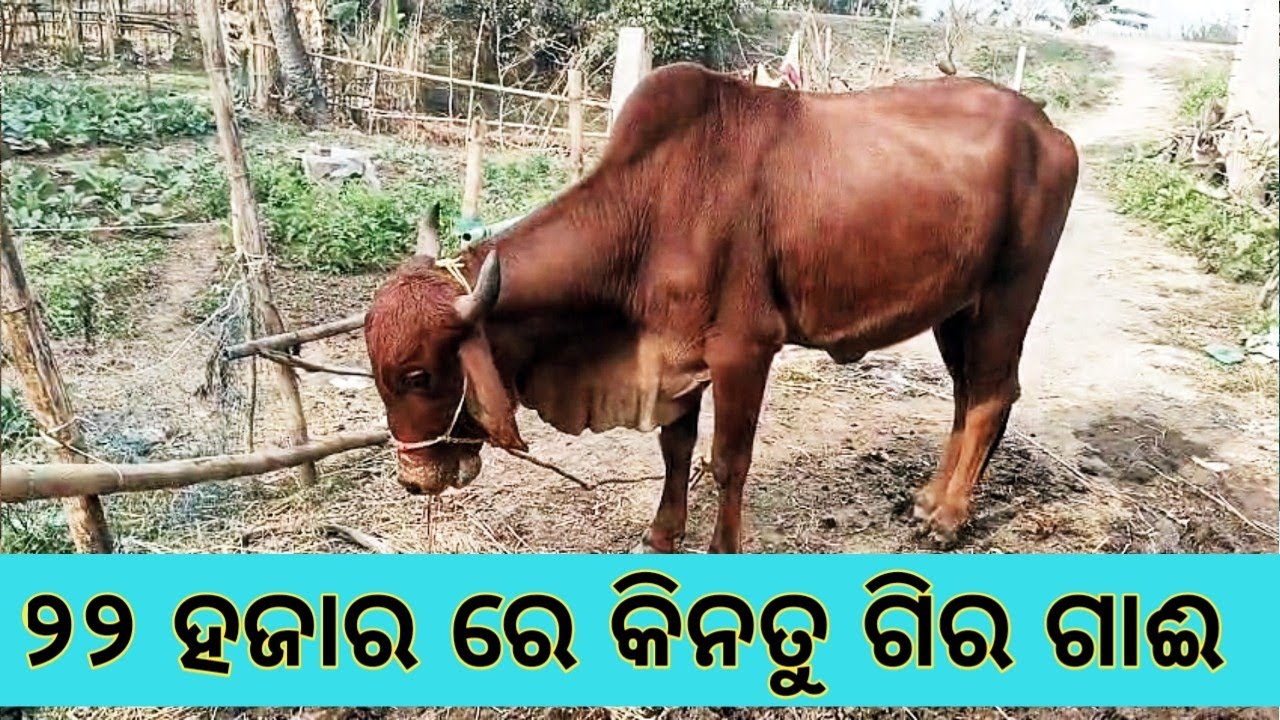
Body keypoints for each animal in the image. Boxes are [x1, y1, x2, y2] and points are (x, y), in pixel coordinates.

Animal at [364, 62, 1080, 553]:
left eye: (419, 375)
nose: (412, 481)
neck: (649, 211)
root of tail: (1047, 128)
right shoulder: (674, 354)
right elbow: (676, 449)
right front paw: (662, 534)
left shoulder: (744, 349)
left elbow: (728, 460)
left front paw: (721, 547)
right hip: (956, 308)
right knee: (967, 393)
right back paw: (929, 500)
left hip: (1010, 292)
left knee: (992, 393)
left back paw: (948, 519)